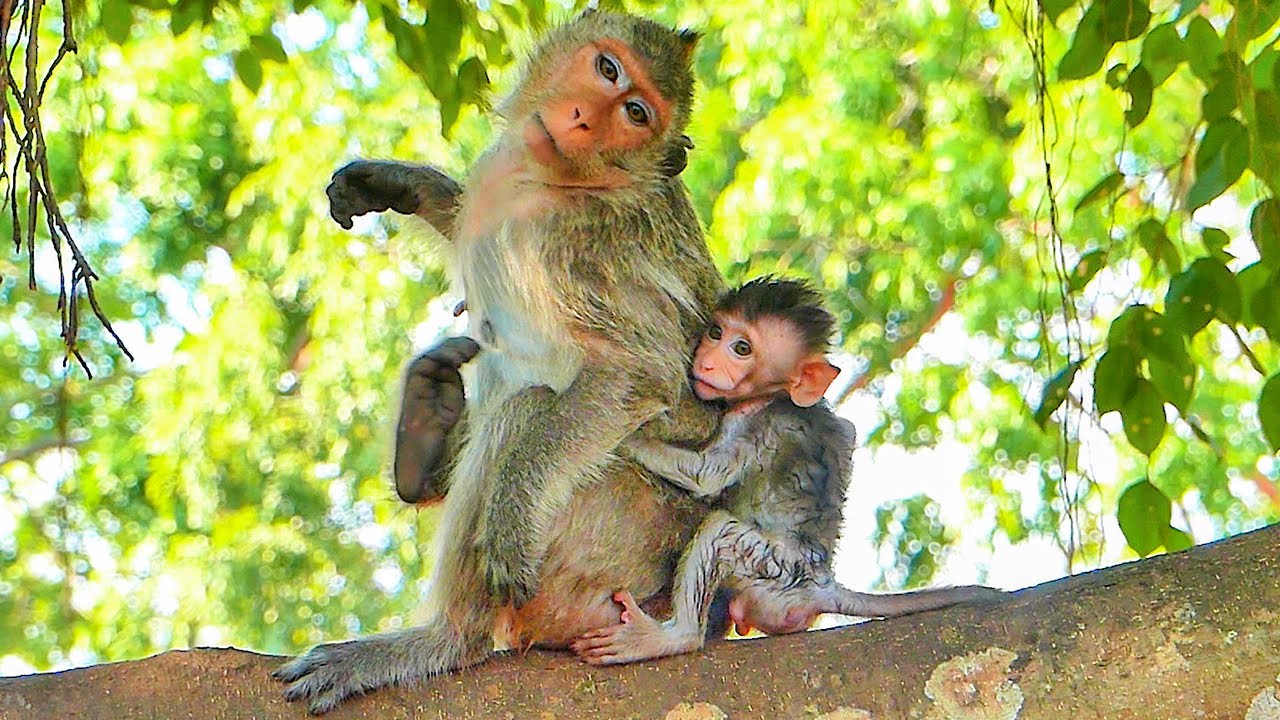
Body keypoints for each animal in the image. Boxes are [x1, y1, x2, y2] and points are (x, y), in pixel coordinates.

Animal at [276, 11, 728, 714]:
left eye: (635, 113)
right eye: (608, 69)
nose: (583, 118)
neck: (546, 180)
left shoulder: (584, 244)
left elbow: (644, 371)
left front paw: (509, 519)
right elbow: (460, 209)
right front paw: (398, 183)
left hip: (610, 546)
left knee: (525, 412)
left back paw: (440, 640)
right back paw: (424, 435)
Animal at [569, 277, 1003, 665]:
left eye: (741, 348)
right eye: (715, 331)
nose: (707, 361)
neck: (771, 396)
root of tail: (823, 584)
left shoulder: (756, 425)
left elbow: (706, 475)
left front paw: (627, 439)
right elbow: (845, 433)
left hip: (774, 567)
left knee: (720, 532)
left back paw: (672, 637)